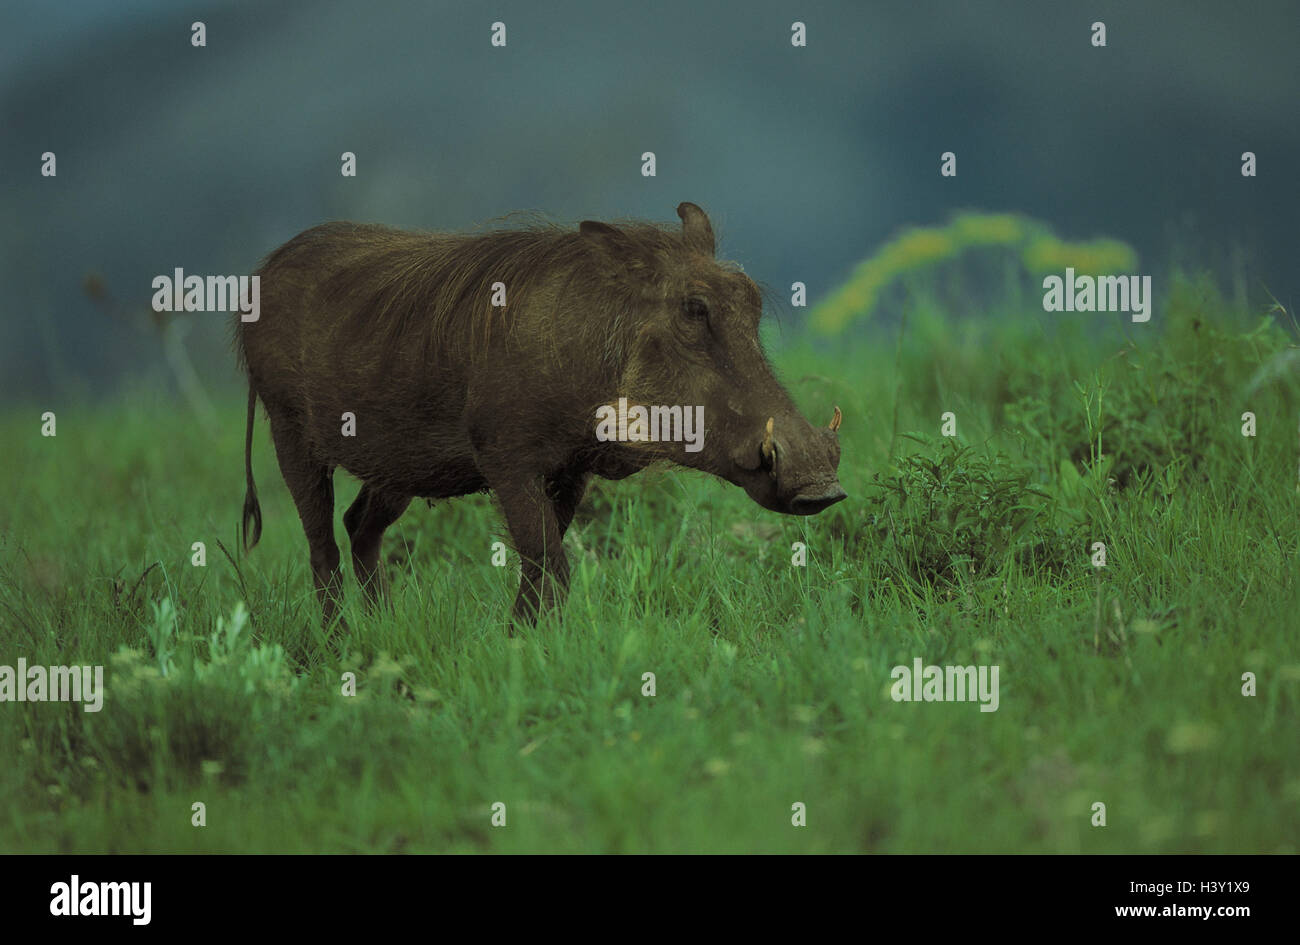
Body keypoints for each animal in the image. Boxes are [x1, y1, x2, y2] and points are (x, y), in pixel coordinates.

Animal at [236, 203, 845, 625]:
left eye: (753, 301)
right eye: (694, 310)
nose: (820, 486)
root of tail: (260, 277)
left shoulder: (571, 471)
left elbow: (542, 570)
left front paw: (521, 642)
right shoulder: (509, 461)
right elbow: (550, 565)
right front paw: (522, 650)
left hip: (398, 464)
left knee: (359, 528)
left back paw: (386, 632)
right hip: (290, 432)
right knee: (321, 546)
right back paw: (339, 646)